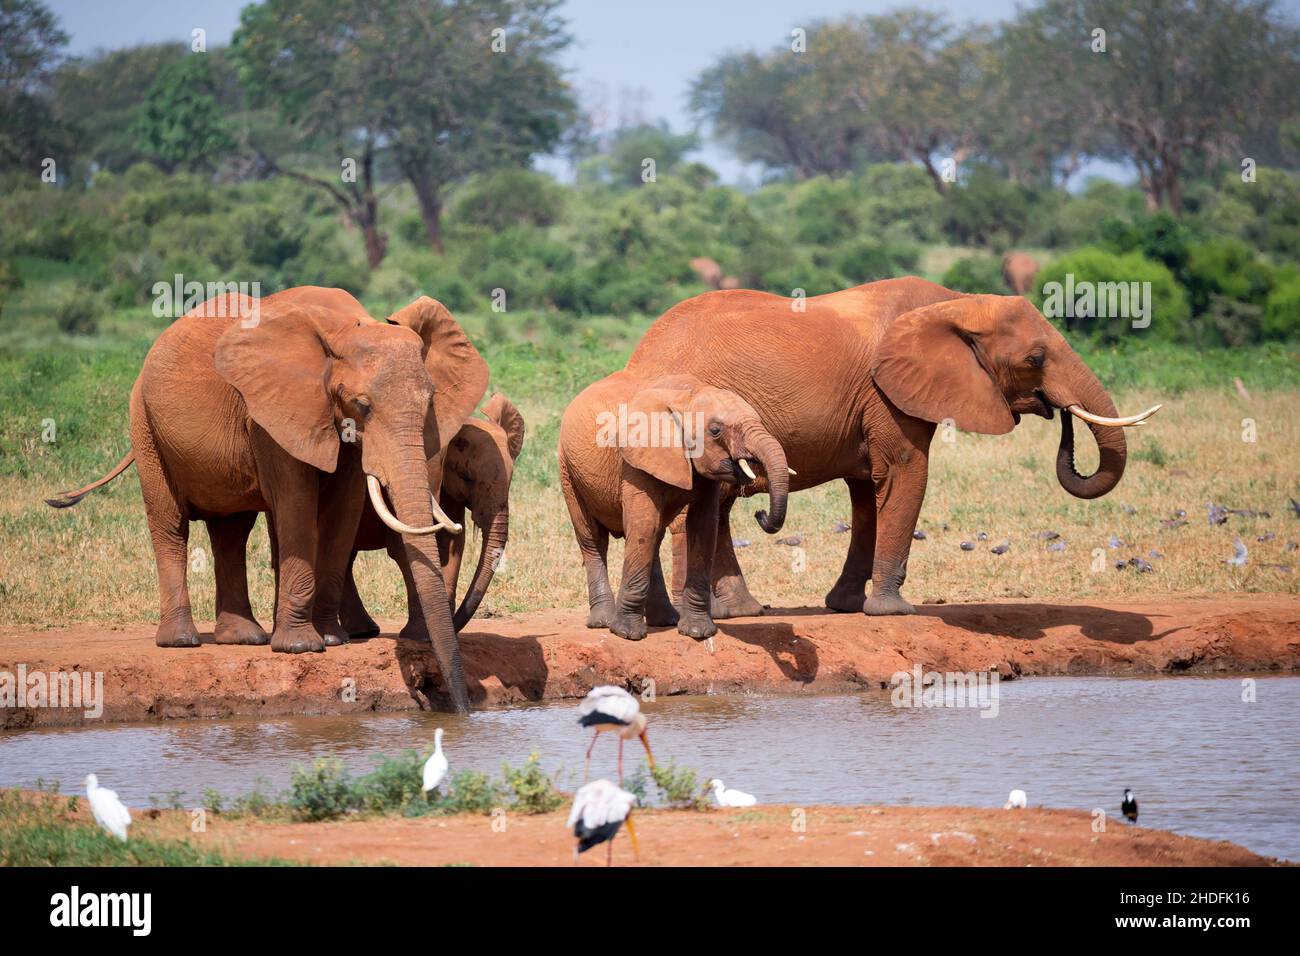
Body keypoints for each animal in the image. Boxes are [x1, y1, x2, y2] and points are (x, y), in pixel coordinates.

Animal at [46, 287, 484, 712]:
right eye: (363, 405)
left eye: (431, 401)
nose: (459, 708)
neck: (344, 329)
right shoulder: (273, 414)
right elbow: (296, 503)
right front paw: (302, 647)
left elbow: (342, 510)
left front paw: (332, 638)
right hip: (145, 426)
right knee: (170, 525)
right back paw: (181, 641)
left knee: (230, 531)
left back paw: (243, 638)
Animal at [339, 392, 525, 640]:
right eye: (467, 477)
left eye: (512, 479)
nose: (455, 625)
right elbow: (405, 548)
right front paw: (420, 634)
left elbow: (453, 545)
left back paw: (363, 631)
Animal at [558, 370, 790, 640]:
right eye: (715, 430)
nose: (759, 513)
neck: (688, 395)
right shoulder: (635, 460)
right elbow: (643, 524)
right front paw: (627, 634)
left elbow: (703, 527)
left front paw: (699, 632)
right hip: (568, 471)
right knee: (593, 539)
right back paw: (603, 622)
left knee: (654, 537)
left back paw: (664, 620)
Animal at [625, 277, 1160, 617]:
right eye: (1035, 359)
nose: (1060, 412)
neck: (955, 303)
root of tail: (638, 356)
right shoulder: (888, 395)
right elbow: (906, 474)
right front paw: (894, 611)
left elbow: (866, 495)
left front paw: (844, 606)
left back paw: (734, 611)